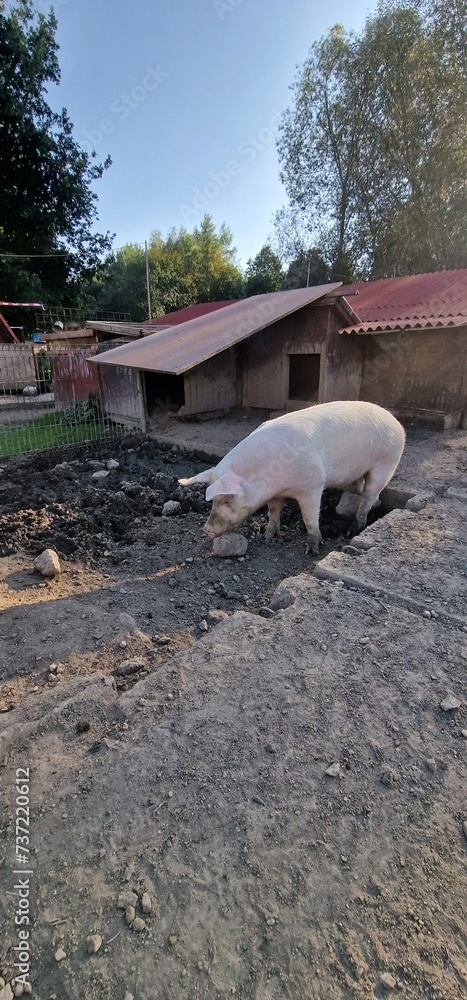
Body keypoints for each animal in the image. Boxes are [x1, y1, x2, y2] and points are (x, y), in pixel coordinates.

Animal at [178, 400, 405, 555]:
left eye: (227, 500)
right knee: (362, 489)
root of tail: (396, 422)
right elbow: (273, 512)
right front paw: (267, 537)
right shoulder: (274, 494)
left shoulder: (312, 485)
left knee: (369, 494)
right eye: (213, 501)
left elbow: (309, 519)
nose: (206, 530)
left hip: (387, 461)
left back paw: (352, 531)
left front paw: (312, 550)